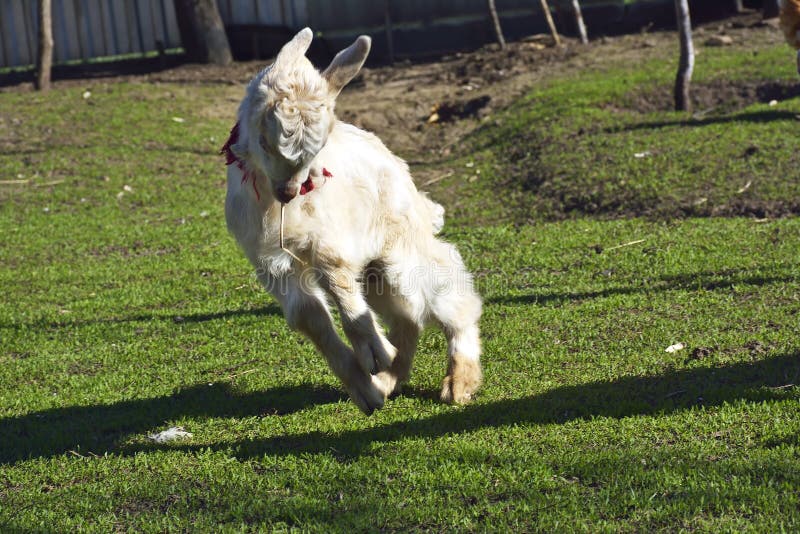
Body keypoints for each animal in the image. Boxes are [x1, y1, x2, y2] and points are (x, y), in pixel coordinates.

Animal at [223, 29, 482, 414]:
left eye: (316, 151)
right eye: (264, 142)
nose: (289, 190)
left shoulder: (329, 241)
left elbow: (338, 279)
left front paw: (373, 353)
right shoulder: (272, 261)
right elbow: (309, 317)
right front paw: (364, 389)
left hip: (401, 247)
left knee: (446, 285)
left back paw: (459, 381)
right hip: (377, 273)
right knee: (408, 318)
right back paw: (386, 381)